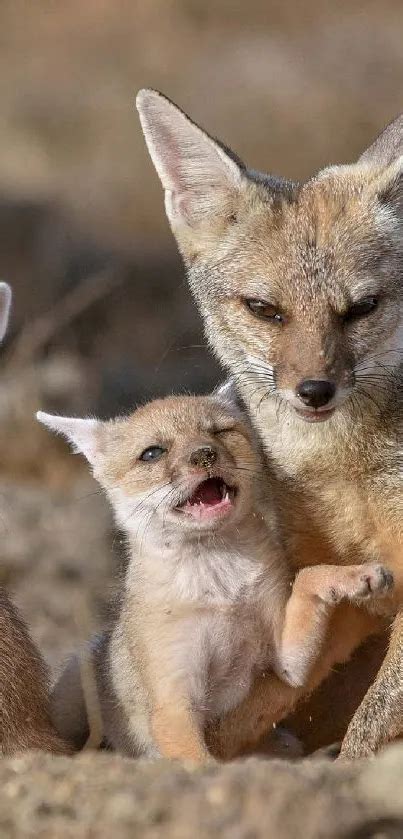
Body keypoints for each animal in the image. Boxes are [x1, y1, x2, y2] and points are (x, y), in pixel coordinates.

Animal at [37, 397, 392, 762]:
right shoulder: (173, 705)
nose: (204, 454)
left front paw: (357, 576)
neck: (220, 585)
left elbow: (310, 575)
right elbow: (201, 762)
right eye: (152, 453)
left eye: (221, 432)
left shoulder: (289, 666)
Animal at [135, 91, 403, 760]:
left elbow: (369, 723)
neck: (338, 470)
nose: (315, 391)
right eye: (265, 310)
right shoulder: (343, 595)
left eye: (362, 308)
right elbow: (265, 694)